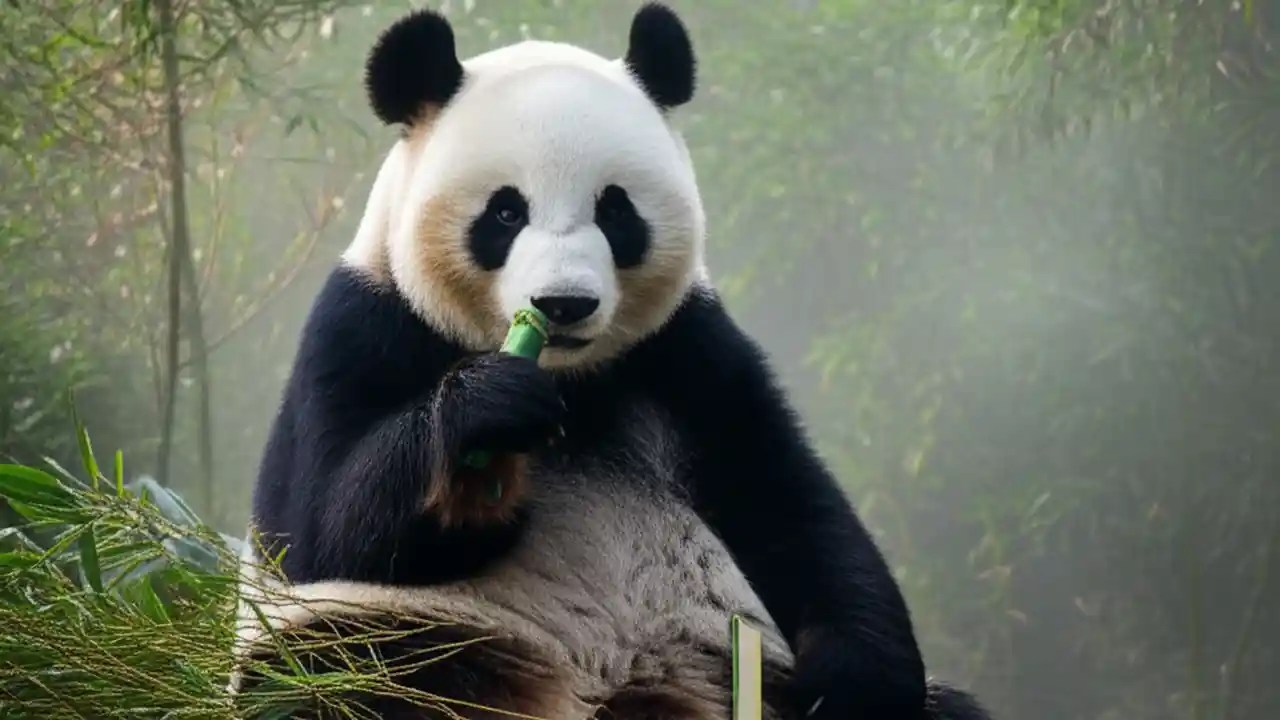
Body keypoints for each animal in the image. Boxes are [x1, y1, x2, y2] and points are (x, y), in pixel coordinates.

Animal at [232, 4, 991, 720]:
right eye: (505, 213)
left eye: (616, 210)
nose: (563, 304)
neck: (571, 379)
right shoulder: (362, 326)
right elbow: (320, 523)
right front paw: (488, 419)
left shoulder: (689, 350)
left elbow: (786, 500)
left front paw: (854, 682)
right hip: (433, 640)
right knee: (337, 668)